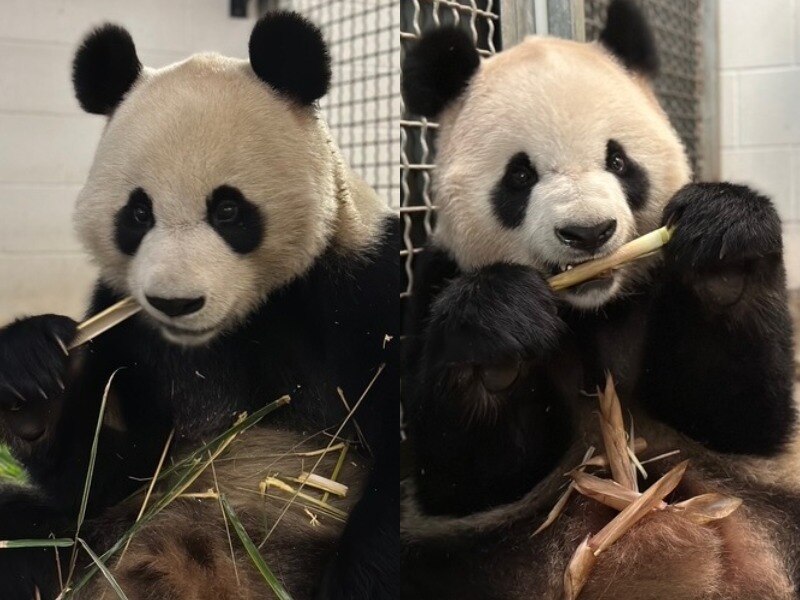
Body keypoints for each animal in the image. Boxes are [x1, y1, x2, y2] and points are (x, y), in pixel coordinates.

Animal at [0, 12, 398, 600]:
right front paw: (35, 377)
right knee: (30, 533)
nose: (175, 301)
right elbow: (104, 476)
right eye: (138, 213)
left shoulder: (359, 289)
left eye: (227, 210)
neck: (233, 330)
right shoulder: (127, 327)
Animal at [400, 1, 800, 598]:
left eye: (618, 161)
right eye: (520, 174)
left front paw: (722, 246)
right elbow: (466, 474)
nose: (588, 232)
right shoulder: (435, 283)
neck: (590, 309)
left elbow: (736, 411)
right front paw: (500, 335)